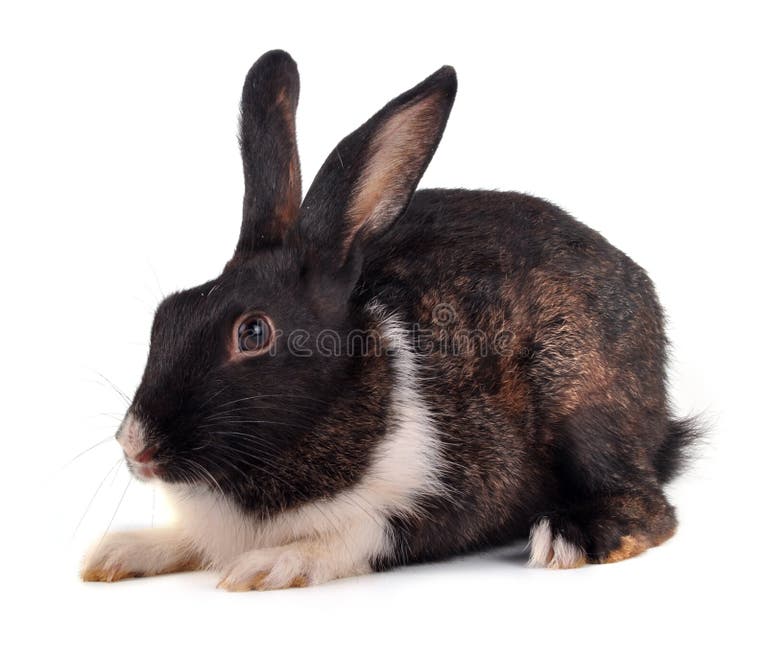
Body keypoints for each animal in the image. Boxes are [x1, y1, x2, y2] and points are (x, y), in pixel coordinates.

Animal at [81, 50, 699, 590]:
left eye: (252, 332)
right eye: (166, 314)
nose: (135, 447)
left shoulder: (448, 492)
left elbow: (362, 534)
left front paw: (271, 565)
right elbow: (190, 539)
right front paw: (117, 552)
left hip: (582, 406)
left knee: (651, 507)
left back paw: (568, 538)